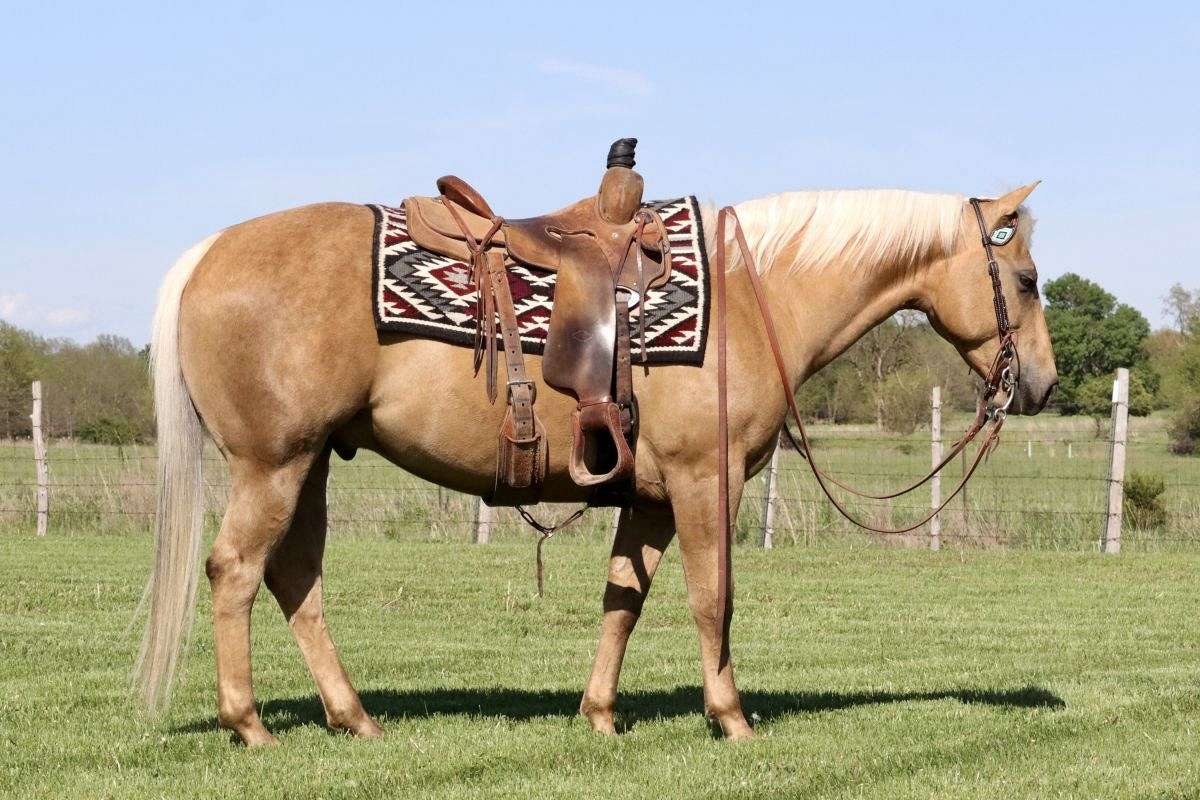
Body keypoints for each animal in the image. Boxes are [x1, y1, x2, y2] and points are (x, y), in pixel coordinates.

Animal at [134, 181, 1058, 746]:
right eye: (1026, 278)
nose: (1042, 384)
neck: (755, 296)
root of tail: (206, 253)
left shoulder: (646, 497)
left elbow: (624, 601)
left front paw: (601, 714)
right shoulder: (704, 479)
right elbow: (712, 598)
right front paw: (731, 717)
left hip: (313, 463)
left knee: (295, 579)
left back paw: (352, 716)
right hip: (274, 464)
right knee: (236, 571)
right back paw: (249, 723)